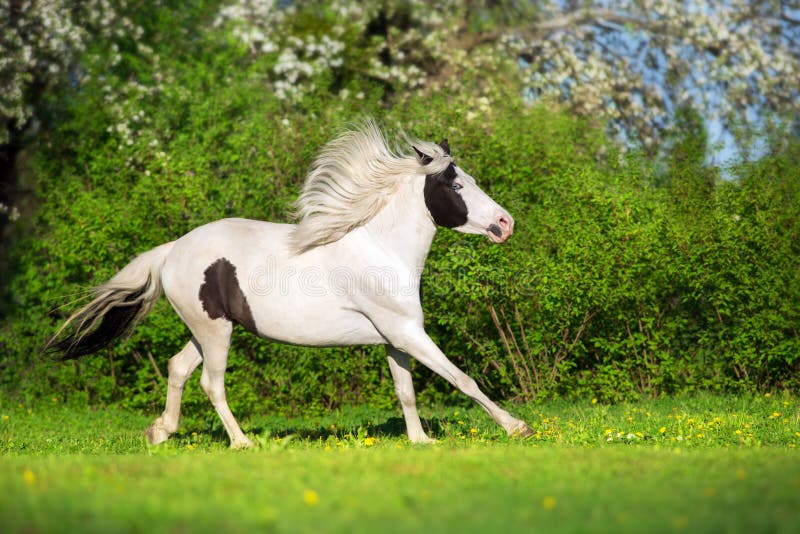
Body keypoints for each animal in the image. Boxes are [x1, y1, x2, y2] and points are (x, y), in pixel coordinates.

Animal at [47, 121, 536, 448]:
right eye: (456, 185)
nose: (505, 224)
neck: (384, 252)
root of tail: (172, 251)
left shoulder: (394, 338)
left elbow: (406, 391)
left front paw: (421, 441)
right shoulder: (407, 333)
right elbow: (462, 378)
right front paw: (517, 426)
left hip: (206, 329)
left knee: (178, 368)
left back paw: (159, 432)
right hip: (215, 332)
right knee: (211, 383)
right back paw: (242, 442)